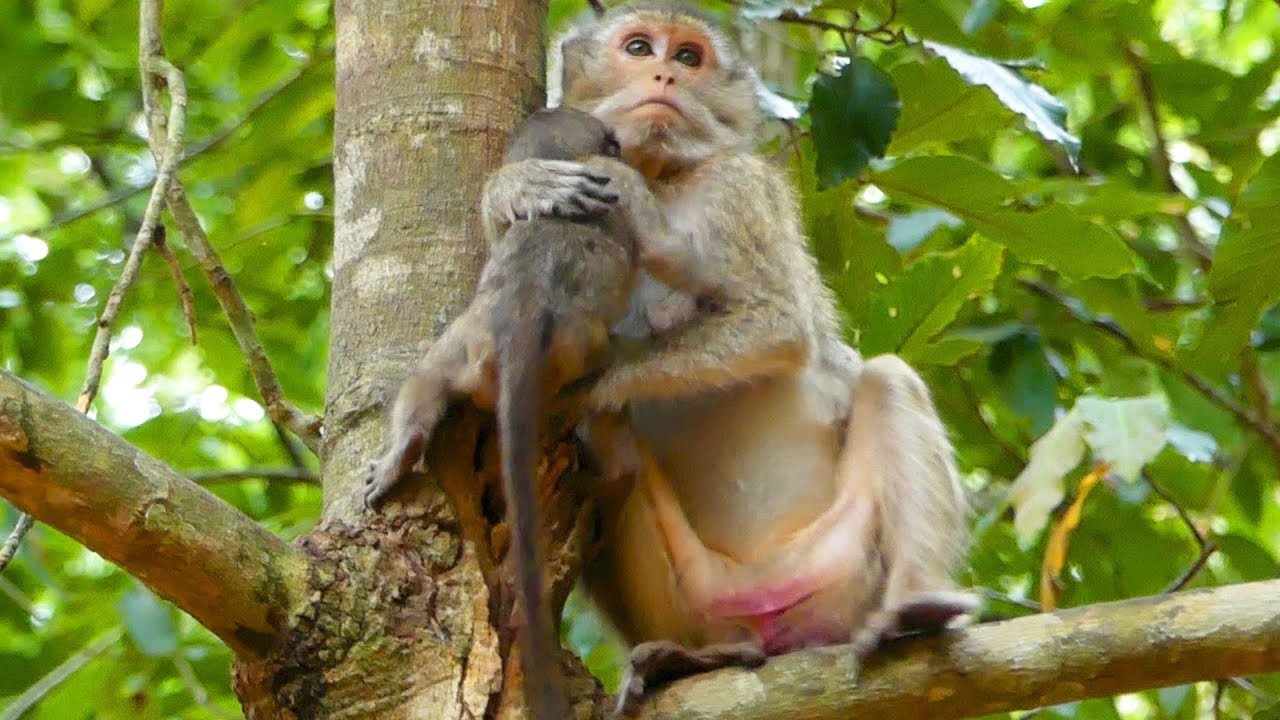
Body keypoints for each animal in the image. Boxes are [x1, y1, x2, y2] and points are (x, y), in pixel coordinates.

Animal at [365, 106, 724, 720]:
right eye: (610, 141)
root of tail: (521, 314)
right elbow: (672, 254)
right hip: (578, 356)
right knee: (610, 410)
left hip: (467, 341)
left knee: (428, 375)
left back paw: (399, 454)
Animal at [481, 2, 981, 712]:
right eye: (639, 48)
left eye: (690, 58)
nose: (664, 73)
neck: (666, 174)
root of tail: (770, 611)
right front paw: (513, 185)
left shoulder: (740, 185)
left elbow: (775, 325)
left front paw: (641, 218)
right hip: (693, 598)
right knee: (611, 457)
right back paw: (685, 659)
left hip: (845, 572)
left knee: (887, 380)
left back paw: (913, 610)